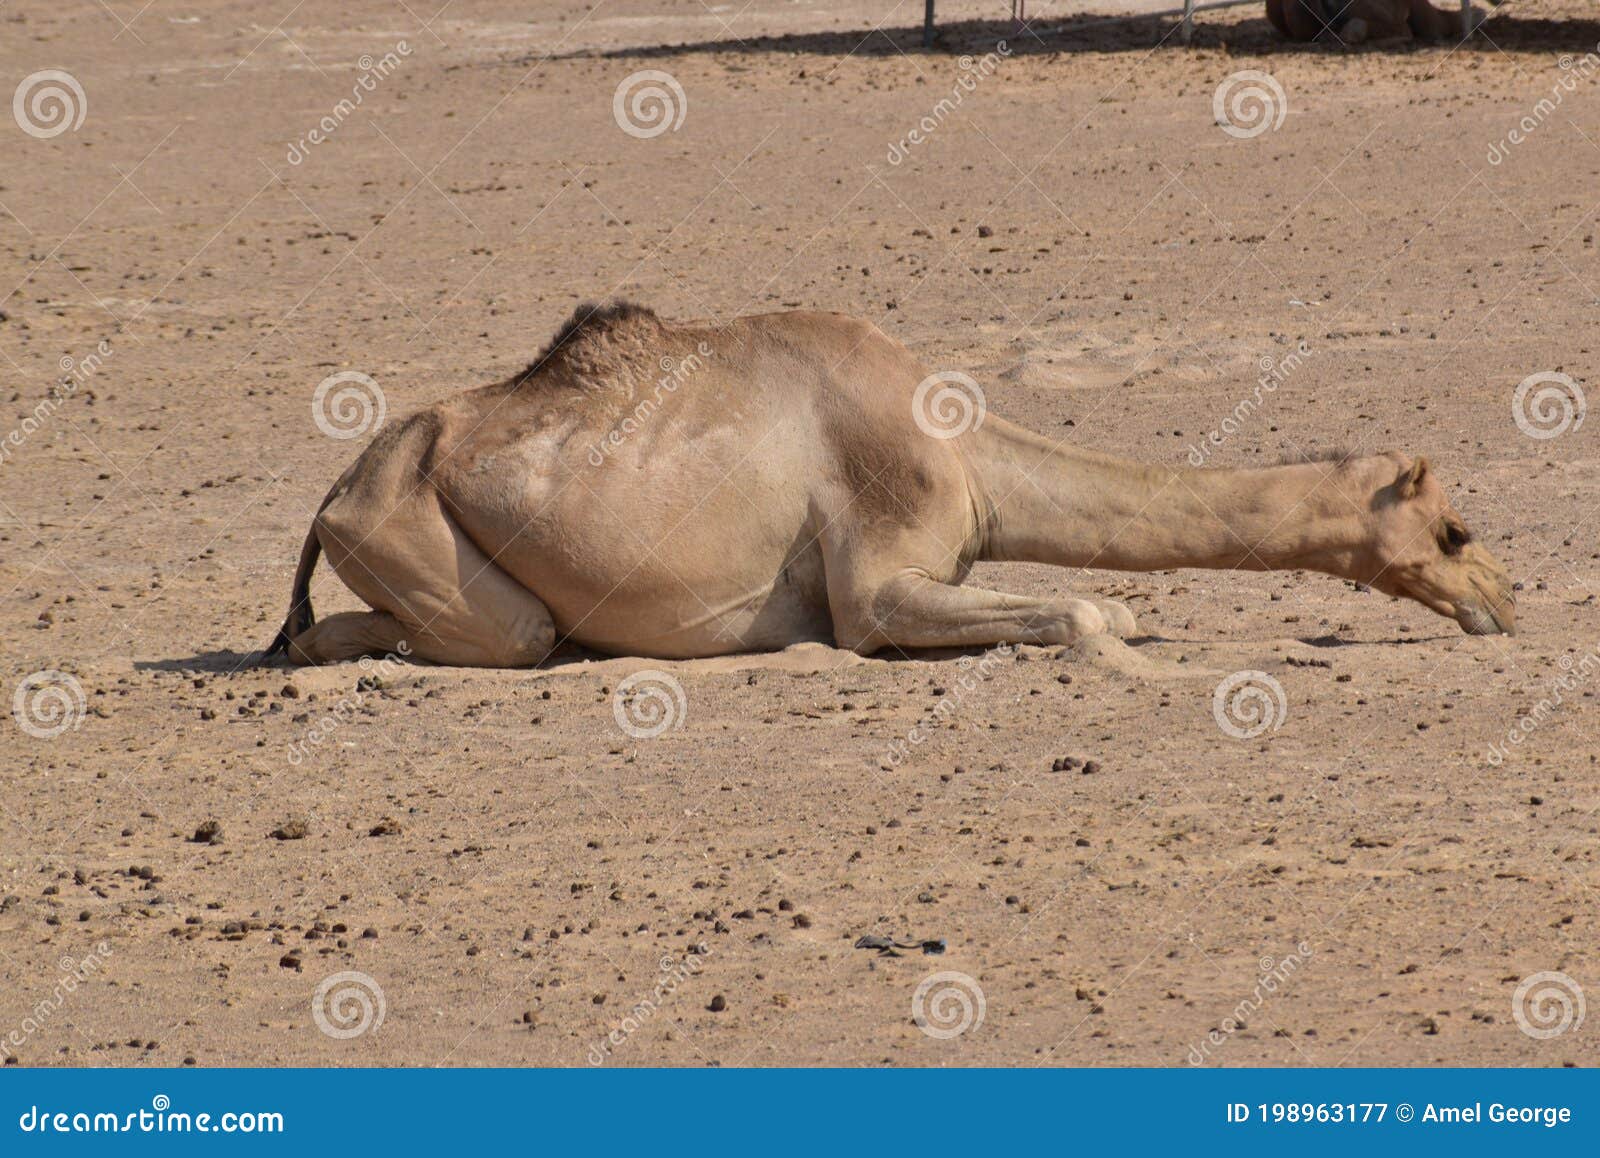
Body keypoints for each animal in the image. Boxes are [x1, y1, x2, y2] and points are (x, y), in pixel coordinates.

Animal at [267, 303, 1514, 667]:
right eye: (1455, 530)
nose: (1506, 601)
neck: (965, 454)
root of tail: (335, 488)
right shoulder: (876, 579)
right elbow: (1085, 611)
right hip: (410, 532)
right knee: (503, 634)